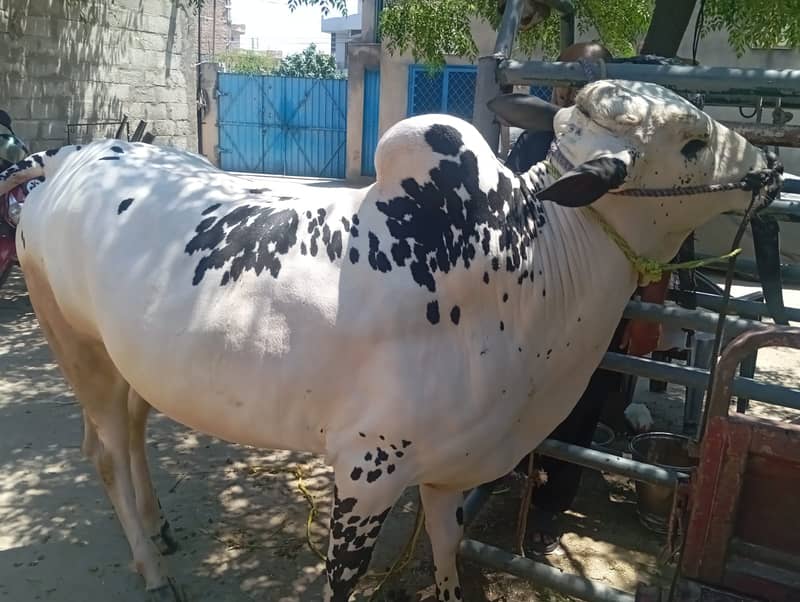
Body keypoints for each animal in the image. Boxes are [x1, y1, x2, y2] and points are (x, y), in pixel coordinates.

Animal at [1, 79, 781, 602]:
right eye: (693, 142)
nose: (770, 170)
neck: (533, 266)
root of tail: (68, 157)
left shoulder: (450, 471)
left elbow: (446, 550)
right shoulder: (366, 471)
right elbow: (347, 580)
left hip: (130, 363)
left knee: (132, 435)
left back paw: (159, 530)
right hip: (77, 349)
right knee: (104, 451)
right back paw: (154, 569)